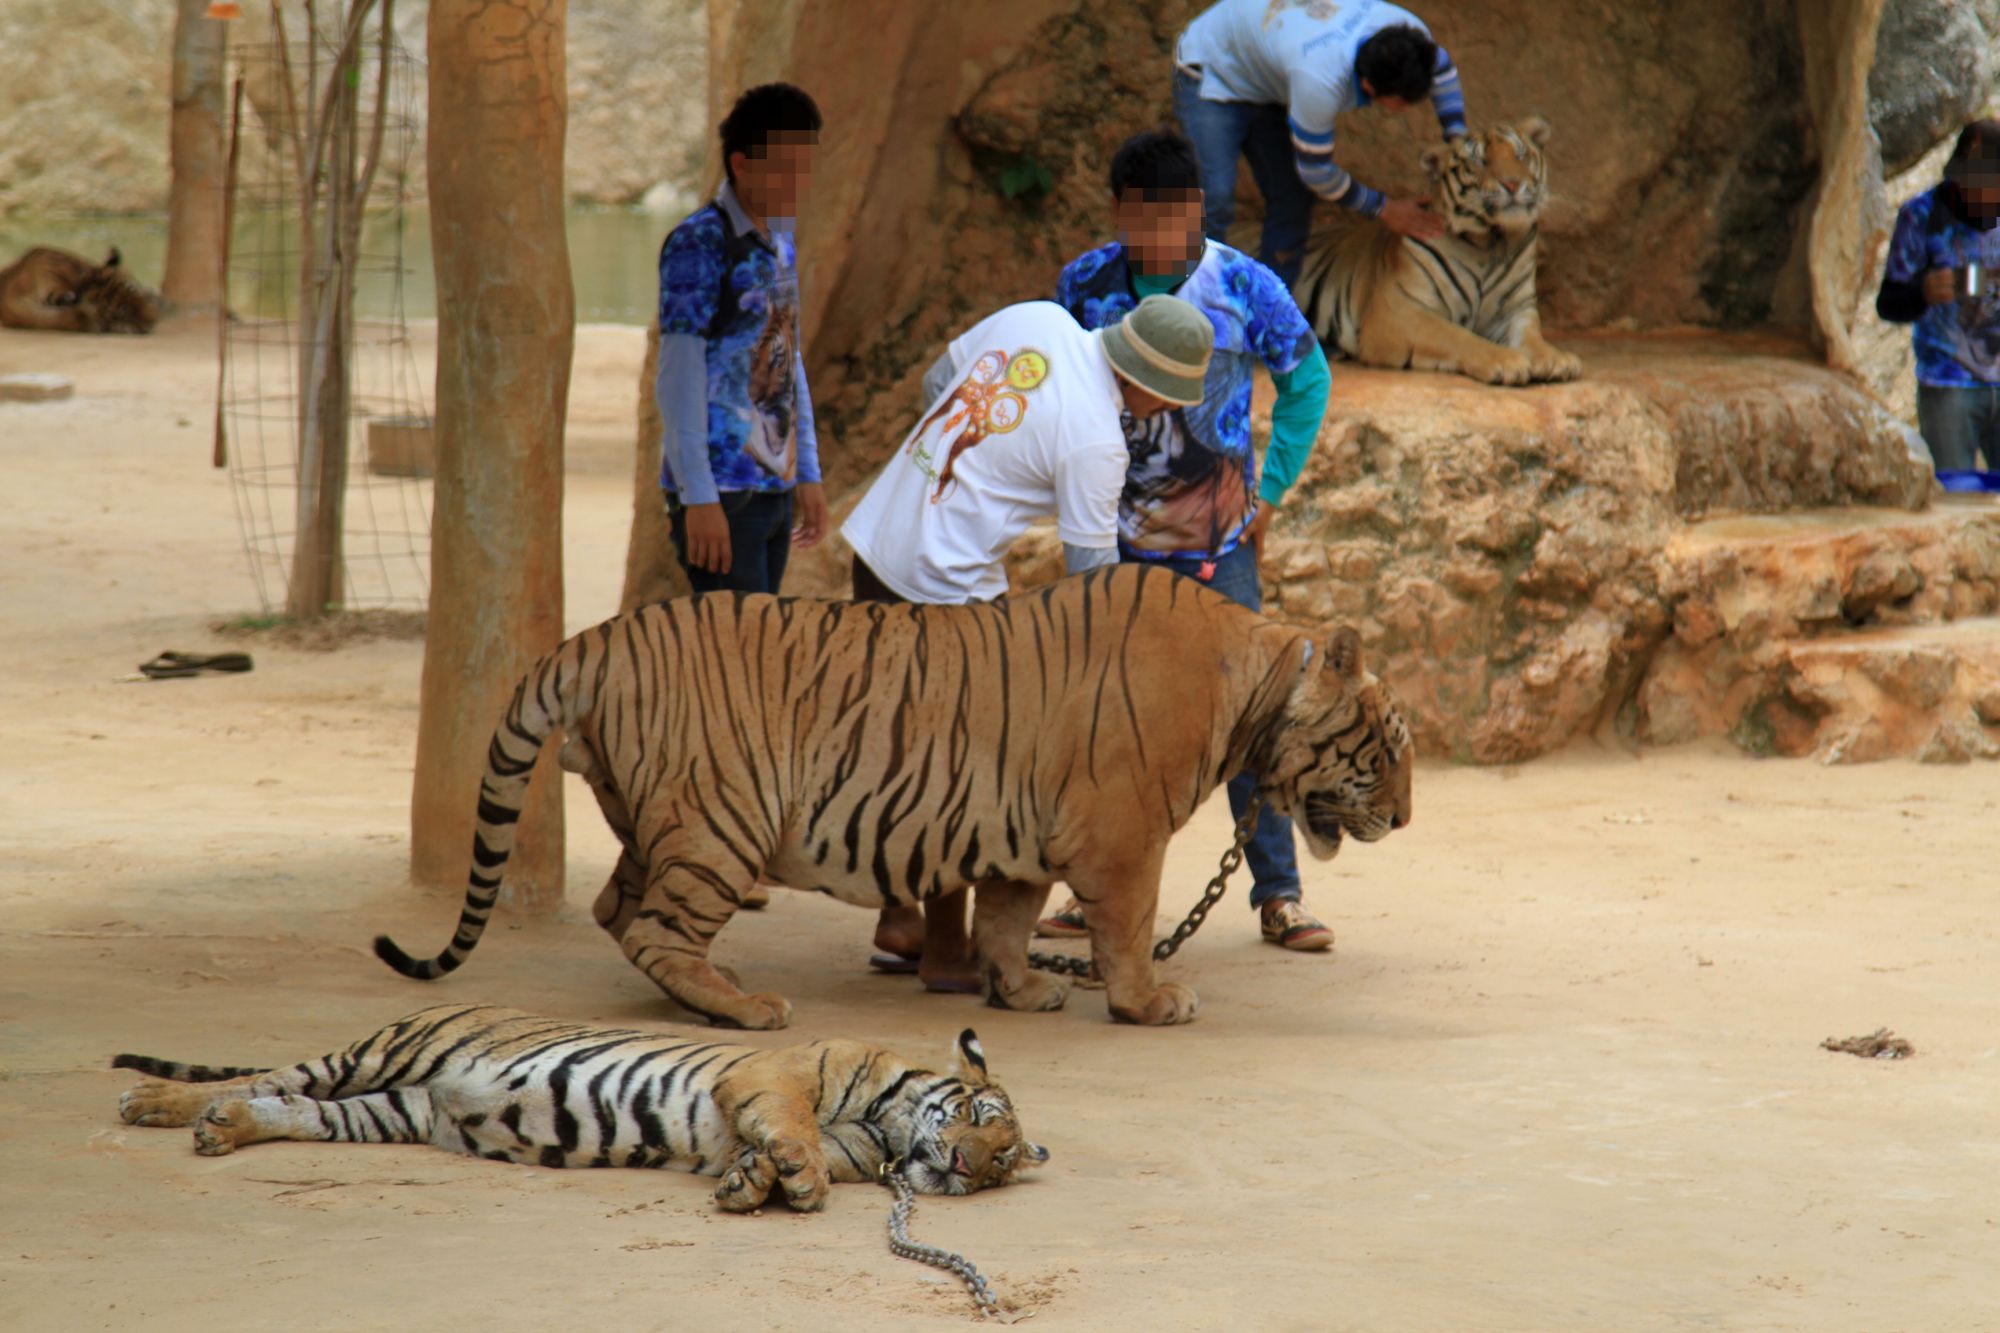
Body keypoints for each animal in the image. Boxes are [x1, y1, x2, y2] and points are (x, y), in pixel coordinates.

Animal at [373, 564, 1414, 1030]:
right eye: (1392, 742)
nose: (1404, 818)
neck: (1260, 681)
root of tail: (595, 638)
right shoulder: (1122, 838)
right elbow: (1125, 926)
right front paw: (1148, 1000)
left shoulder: (1029, 838)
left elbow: (1007, 919)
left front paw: (1021, 987)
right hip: (722, 820)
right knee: (656, 929)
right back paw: (746, 1008)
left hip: (655, 816)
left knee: (617, 911)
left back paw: (711, 989)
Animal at [1290, 116, 1581, 386]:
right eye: (1481, 162)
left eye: (1520, 155)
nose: (1512, 184)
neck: (1490, 241)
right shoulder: (1400, 311)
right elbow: (1457, 336)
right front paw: (1507, 361)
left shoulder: (1516, 309)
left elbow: (1531, 336)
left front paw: (1556, 359)